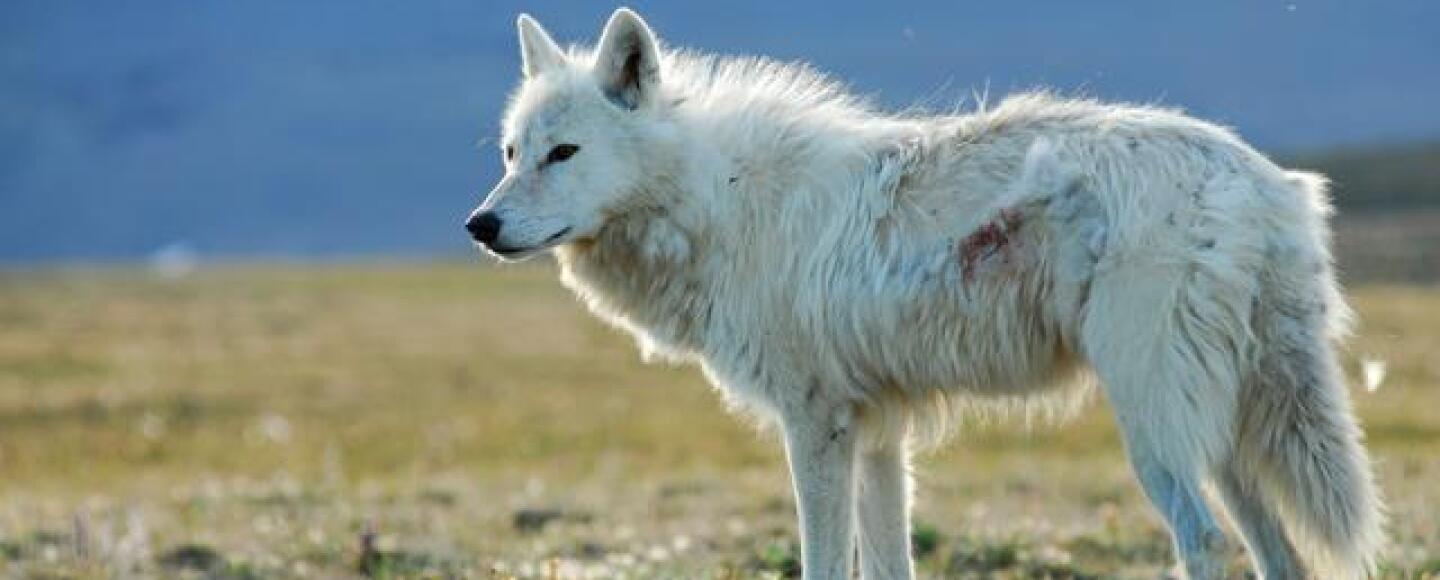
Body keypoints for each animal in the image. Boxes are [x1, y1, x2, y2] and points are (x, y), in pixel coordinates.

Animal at [464, 8, 1383, 579]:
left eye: (563, 153)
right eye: (511, 152)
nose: (479, 224)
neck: (721, 202)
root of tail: (1266, 183)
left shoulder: (818, 426)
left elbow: (823, 562)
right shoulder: (879, 432)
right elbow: (889, 561)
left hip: (1155, 430)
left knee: (1204, 540)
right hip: (1226, 436)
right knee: (1280, 555)